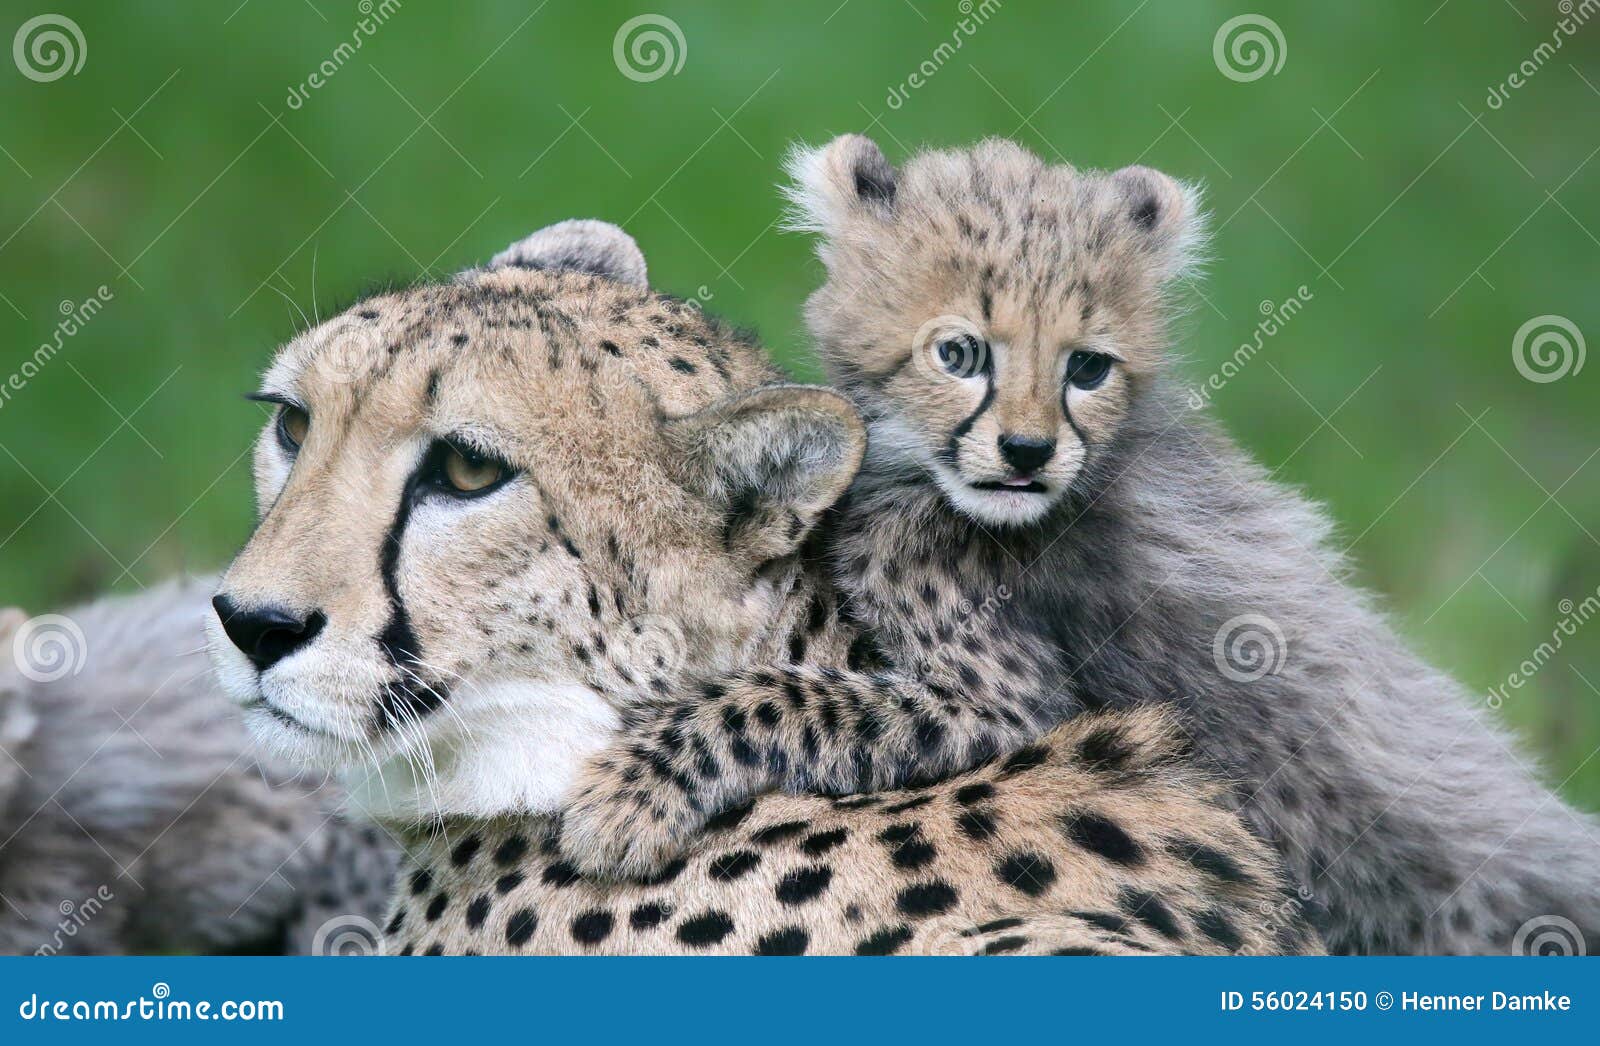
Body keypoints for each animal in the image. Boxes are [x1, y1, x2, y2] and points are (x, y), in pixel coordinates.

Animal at [554, 137, 1600, 956]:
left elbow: (789, 696)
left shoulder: (1005, 708)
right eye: (960, 353)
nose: (1027, 451)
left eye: (1088, 368)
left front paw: (633, 792)